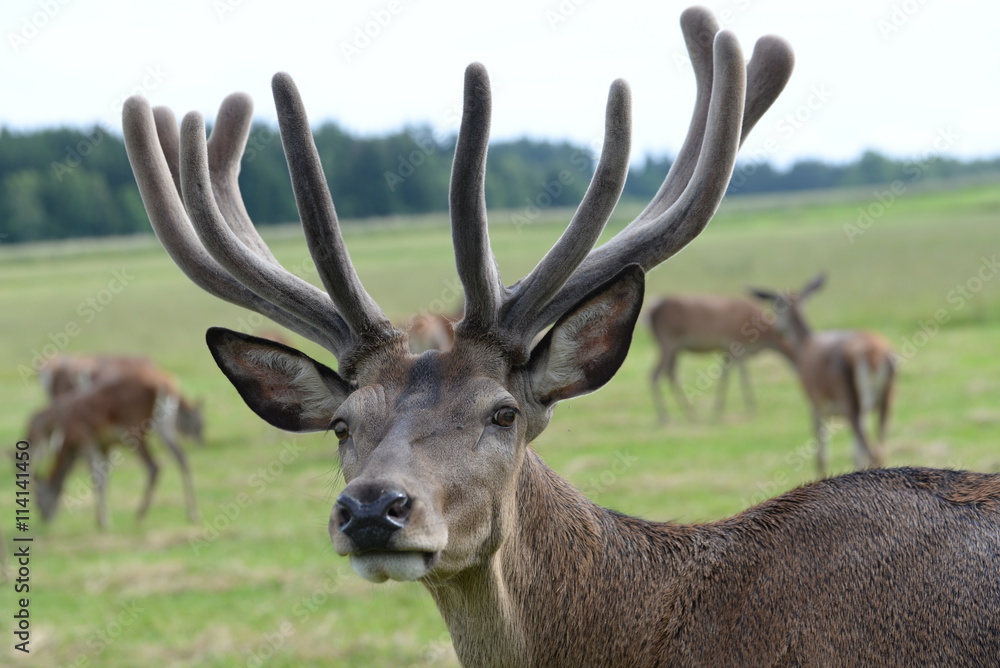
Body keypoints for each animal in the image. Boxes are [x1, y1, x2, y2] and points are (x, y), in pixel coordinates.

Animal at [26, 361, 201, 528]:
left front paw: (103, 522)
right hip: (166, 424)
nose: (45, 519)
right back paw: (192, 513)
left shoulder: (86, 437)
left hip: (134, 427)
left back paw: (140, 515)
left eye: (38, 500)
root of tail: (164, 384)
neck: (68, 436)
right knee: (182, 458)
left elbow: (96, 476)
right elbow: (104, 478)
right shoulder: (106, 443)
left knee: (154, 466)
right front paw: (102, 516)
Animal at [647, 294, 794, 423]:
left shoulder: (728, 350)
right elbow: (743, 378)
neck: (766, 338)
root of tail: (653, 312)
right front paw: (752, 409)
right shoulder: (738, 345)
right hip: (668, 340)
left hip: (674, 347)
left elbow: (724, 377)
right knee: (655, 374)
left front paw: (717, 411)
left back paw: (690, 415)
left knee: (669, 374)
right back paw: (664, 418)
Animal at [750, 273, 896, 476]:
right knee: (880, 446)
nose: (778, 331)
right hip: (885, 400)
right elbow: (855, 454)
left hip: (850, 400)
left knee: (873, 450)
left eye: (776, 305)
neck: (805, 345)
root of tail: (874, 355)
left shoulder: (814, 402)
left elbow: (821, 454)